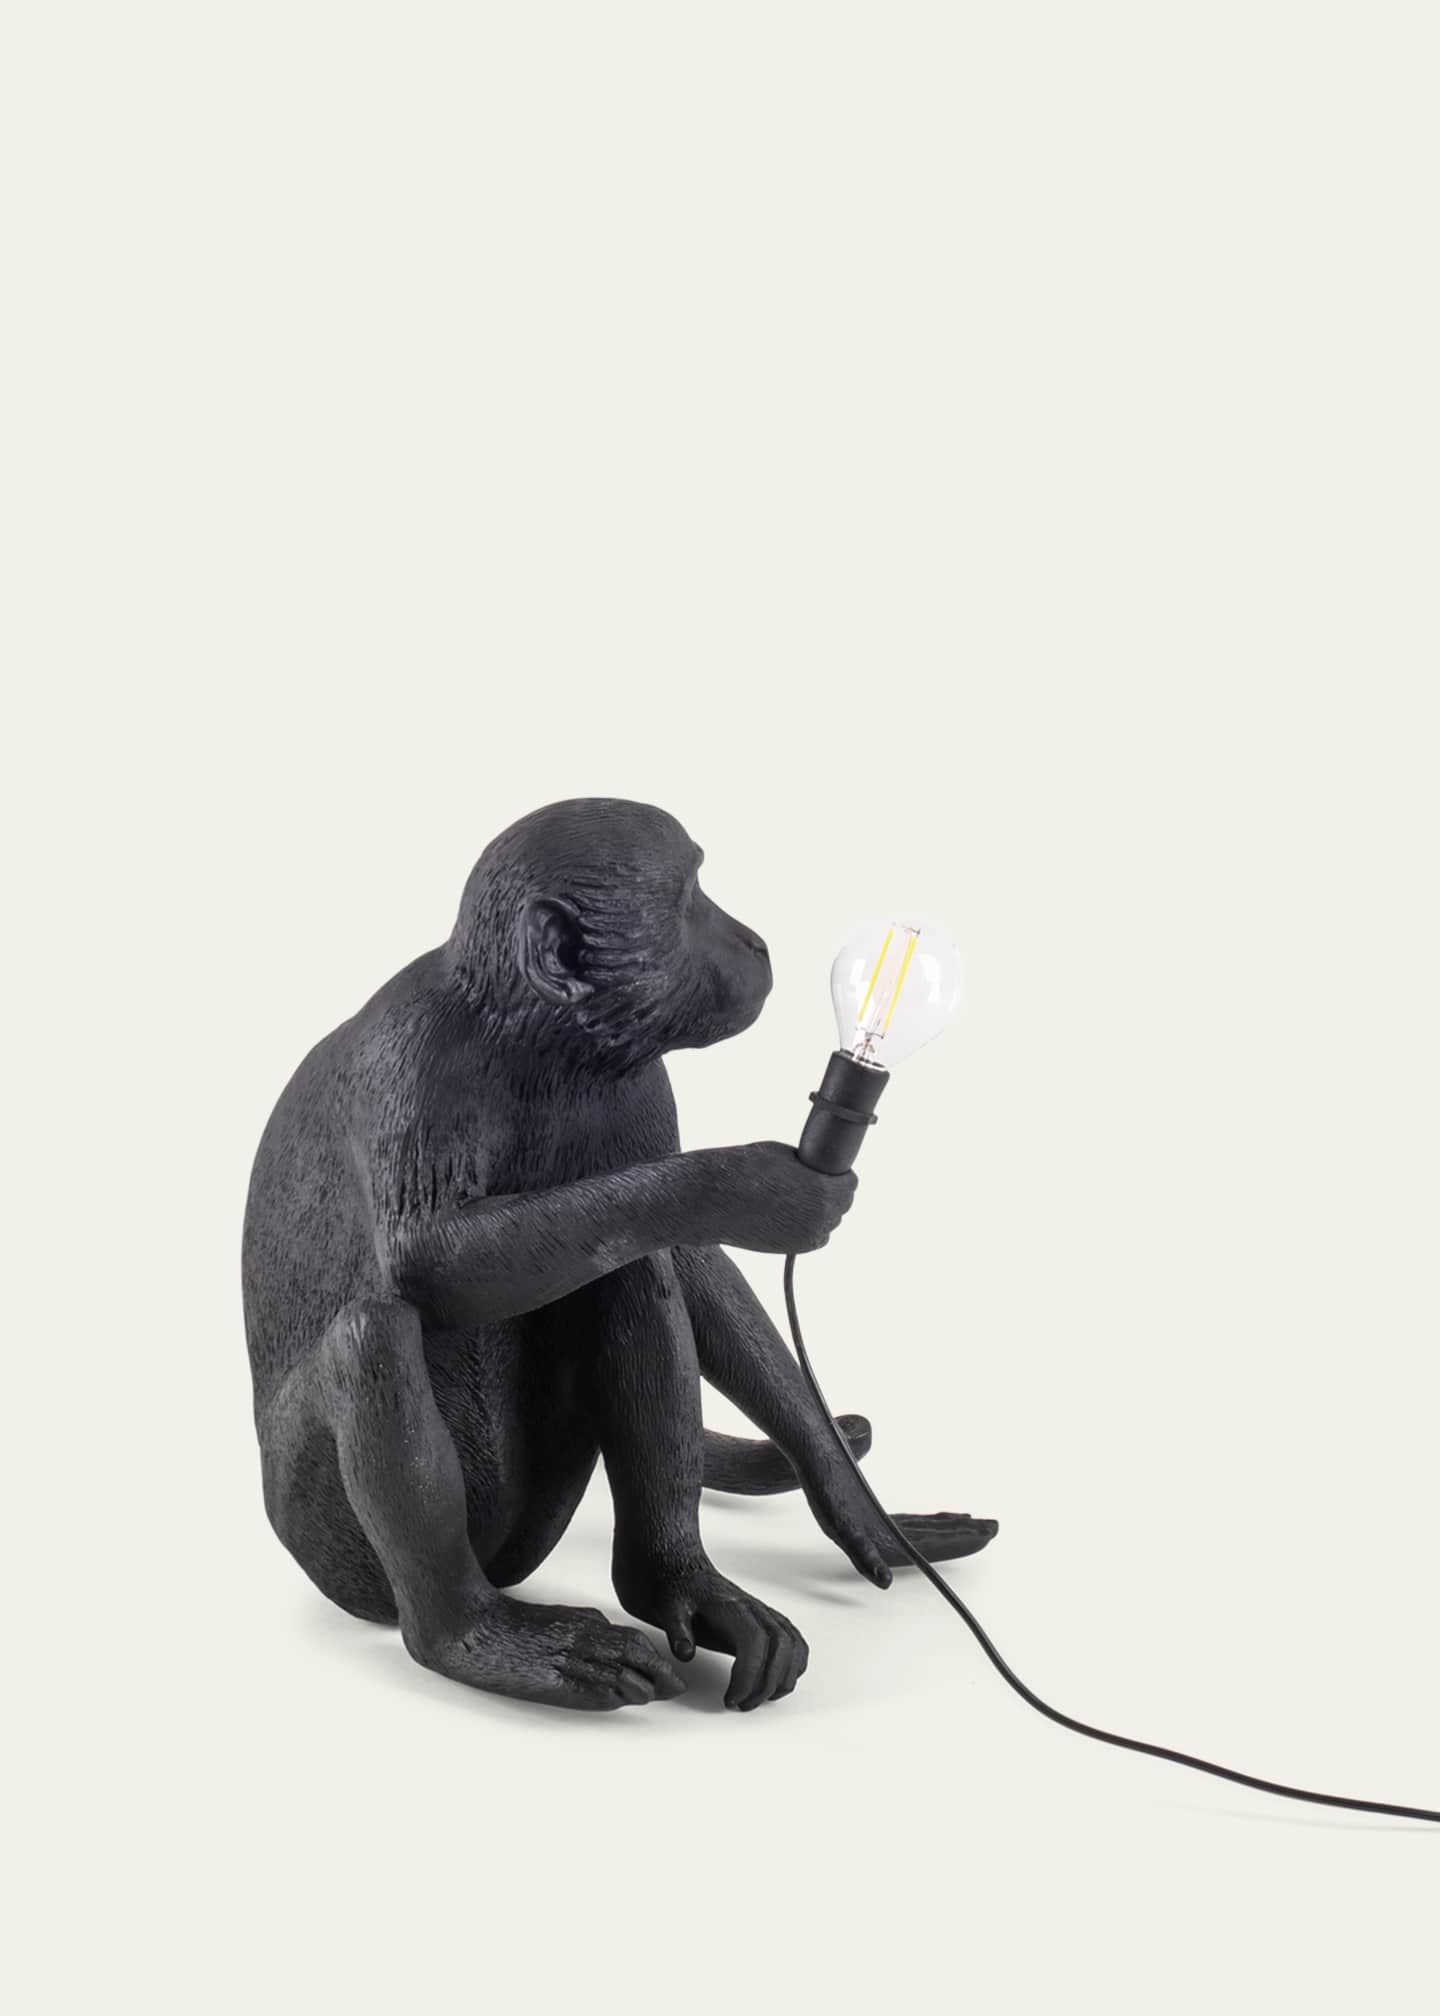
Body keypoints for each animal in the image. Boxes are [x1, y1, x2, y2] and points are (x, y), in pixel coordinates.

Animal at [242, 798, 997, 1712]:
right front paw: (750, 1184)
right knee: (373, 1330)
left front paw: (852, 1497)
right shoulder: (412, 1057)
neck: (534, 1040)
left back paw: (677, 1584)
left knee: (626, 1260)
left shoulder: (638, 1083)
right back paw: (477, 1637)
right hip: (327, 1547)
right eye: (693, 898)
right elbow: (427, 1259)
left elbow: (674, 1247)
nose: (755, 941)